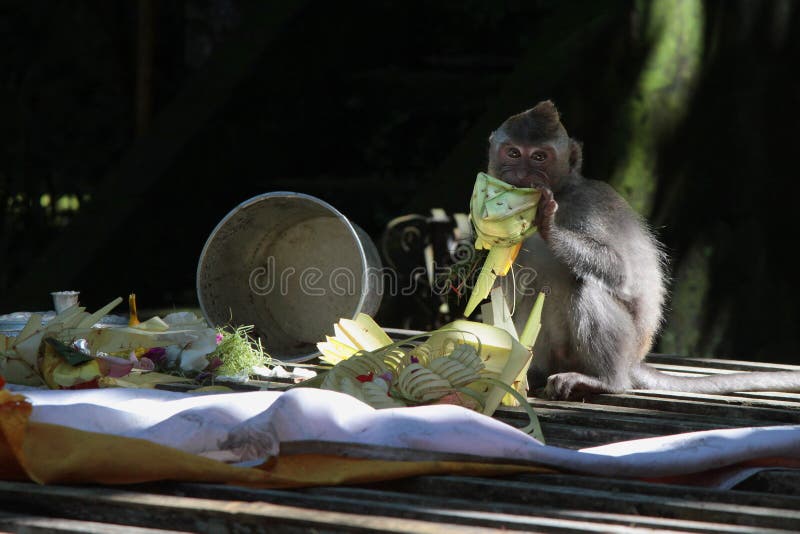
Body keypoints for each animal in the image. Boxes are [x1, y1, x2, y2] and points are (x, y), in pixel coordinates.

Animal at [487, 100, 800, 400]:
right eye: (513, 153)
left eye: (539, 157)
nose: (522, 174)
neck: (562, 191)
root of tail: (632, 364)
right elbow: (503, 291)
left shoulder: (591, 204)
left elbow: (620, 272)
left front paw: (549, 225)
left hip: (620, 347)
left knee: (586, 285)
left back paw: (605, 381)